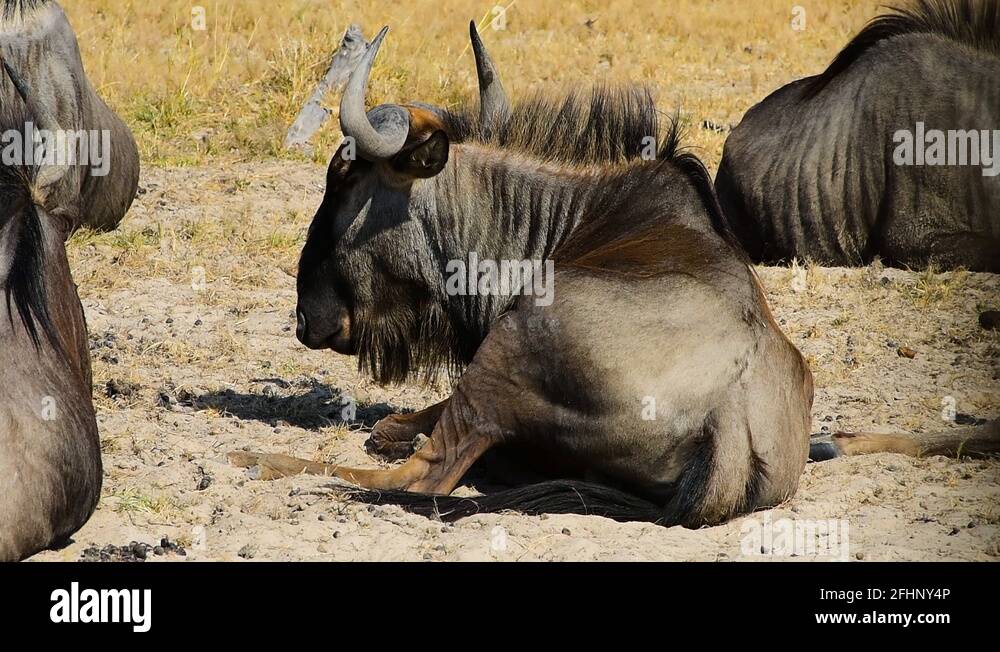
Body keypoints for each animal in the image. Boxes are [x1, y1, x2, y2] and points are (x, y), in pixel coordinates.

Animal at [229, 23, 817, 526]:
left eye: (344, 176)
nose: (306, 318)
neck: (578, 218)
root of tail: (728, 427)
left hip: (504, 351)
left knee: (422, 477)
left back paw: (259, 458)